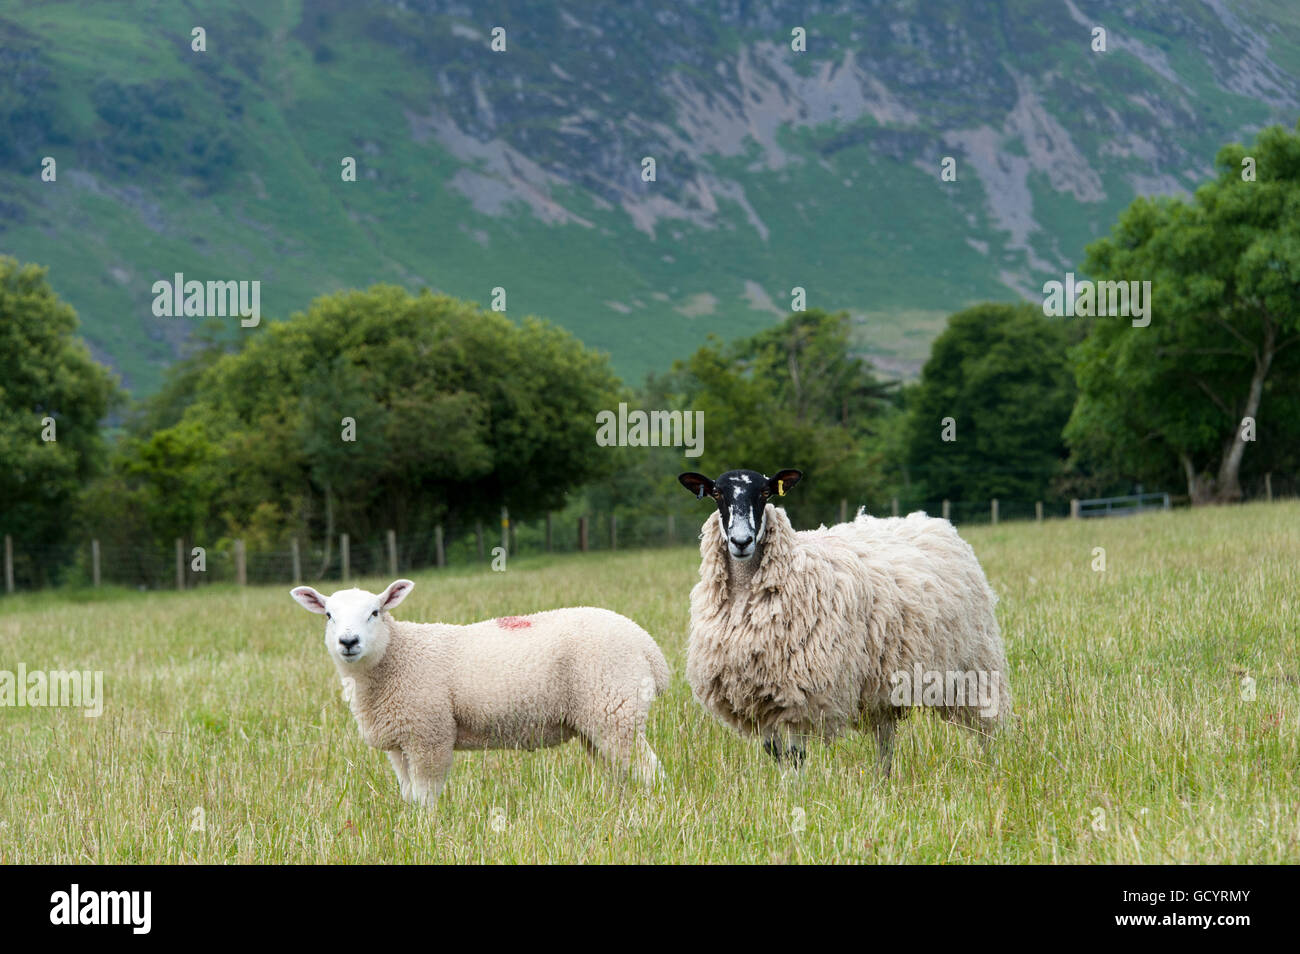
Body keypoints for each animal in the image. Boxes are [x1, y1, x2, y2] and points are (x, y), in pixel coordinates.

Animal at [289, 579, 669, 804]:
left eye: (375, 612)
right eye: (328, 615)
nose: (348, 641)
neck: (397, 656)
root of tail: (649, 647)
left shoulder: (429, 735)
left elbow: (426, 795)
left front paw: (425, 832)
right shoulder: (399, 741)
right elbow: (409, 794)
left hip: (615, 708)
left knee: (650, 769)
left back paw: (655, 805)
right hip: (597, 720)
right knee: (621, 769)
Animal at [678, 468, 1011, 776]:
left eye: (765, 493)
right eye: (717, 494)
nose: (741, 541)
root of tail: (933, 522)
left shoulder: (801, 693)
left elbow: (796, 756)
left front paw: (795, 796)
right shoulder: (758, 697)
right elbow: (776, 753)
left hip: (973, 664)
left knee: (987, 723)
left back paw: (993, 770)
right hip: (882, 678)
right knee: (885, 737)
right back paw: (881, 781)